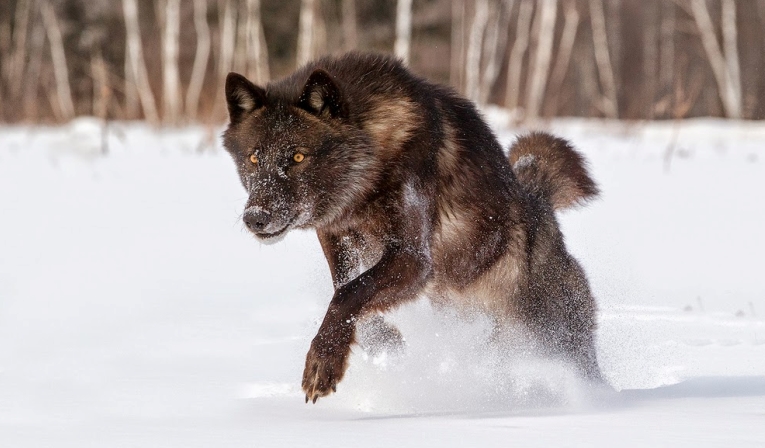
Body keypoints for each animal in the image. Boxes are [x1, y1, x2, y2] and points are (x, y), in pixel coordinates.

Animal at [222, 52, 604, 404]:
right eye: (254, 158)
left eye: (298, 157)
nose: (255, 217)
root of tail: (539, 202)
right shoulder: (335, 231)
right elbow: (343, 285)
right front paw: (383, 342)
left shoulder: (414, 258)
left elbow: (351, 293)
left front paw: (323, 363)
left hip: (549, 337)